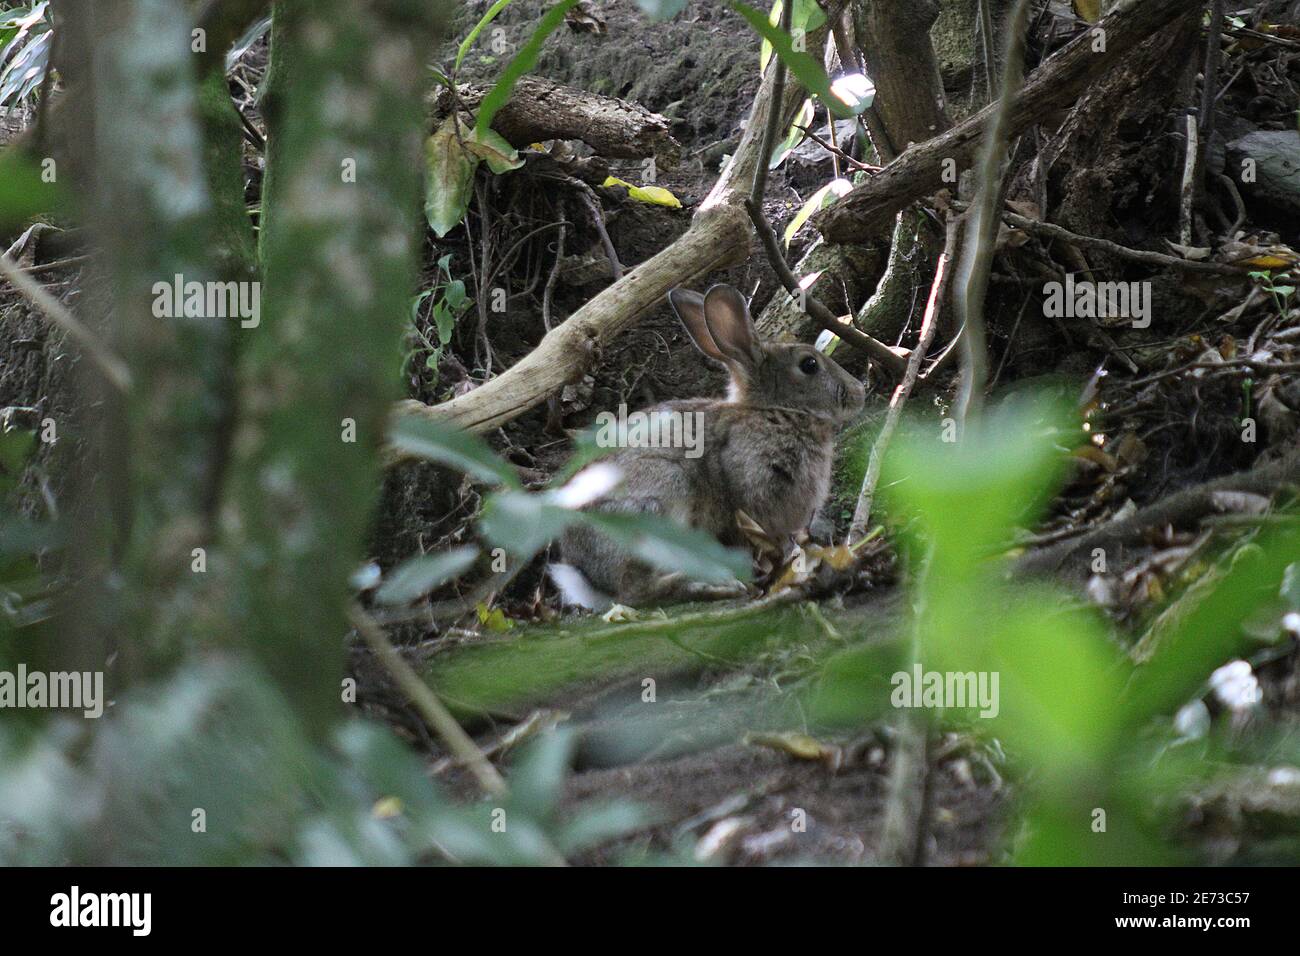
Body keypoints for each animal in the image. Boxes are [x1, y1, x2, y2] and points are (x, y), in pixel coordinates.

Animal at [554, 283, 867, 609]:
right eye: (809, 364)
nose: (860, 391)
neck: (773, 411)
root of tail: (587, 575)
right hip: (660, 501)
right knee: (634, 592)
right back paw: (715, 585)